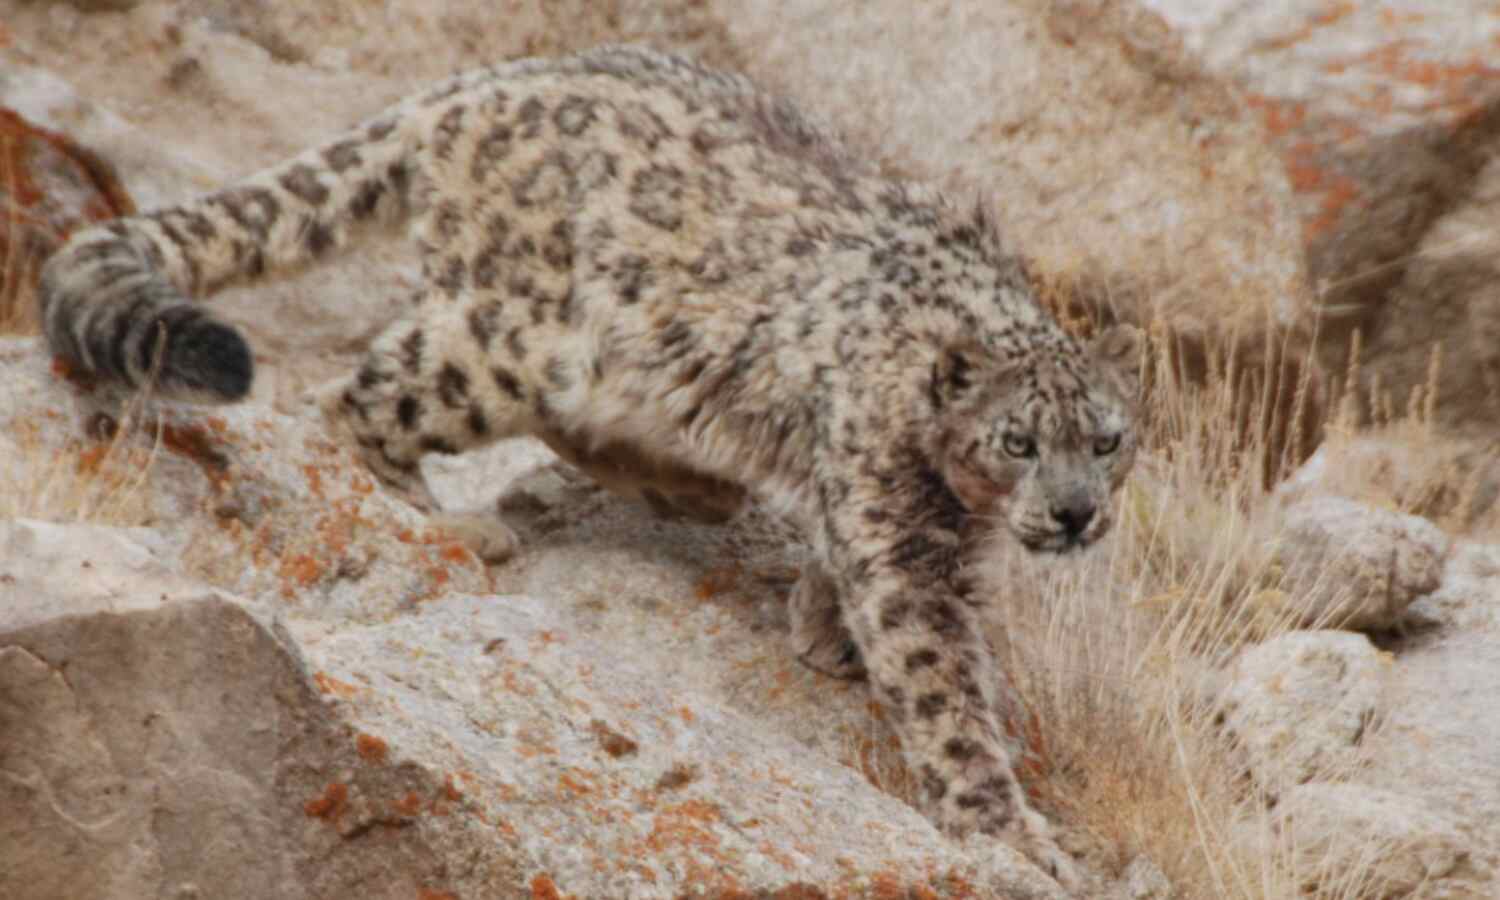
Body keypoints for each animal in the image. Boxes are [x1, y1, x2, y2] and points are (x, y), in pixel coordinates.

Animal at [38, 45, 1140, 888]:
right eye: (1019, 441)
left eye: (1109, 439)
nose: (1076, 515)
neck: (962, 503)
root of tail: (471, 86)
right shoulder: (904, 531)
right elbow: (945, 687)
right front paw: (1015, 834)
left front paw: (821, 627)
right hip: (509, 338)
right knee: (363, 393)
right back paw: (449, 515)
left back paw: (691, 486)